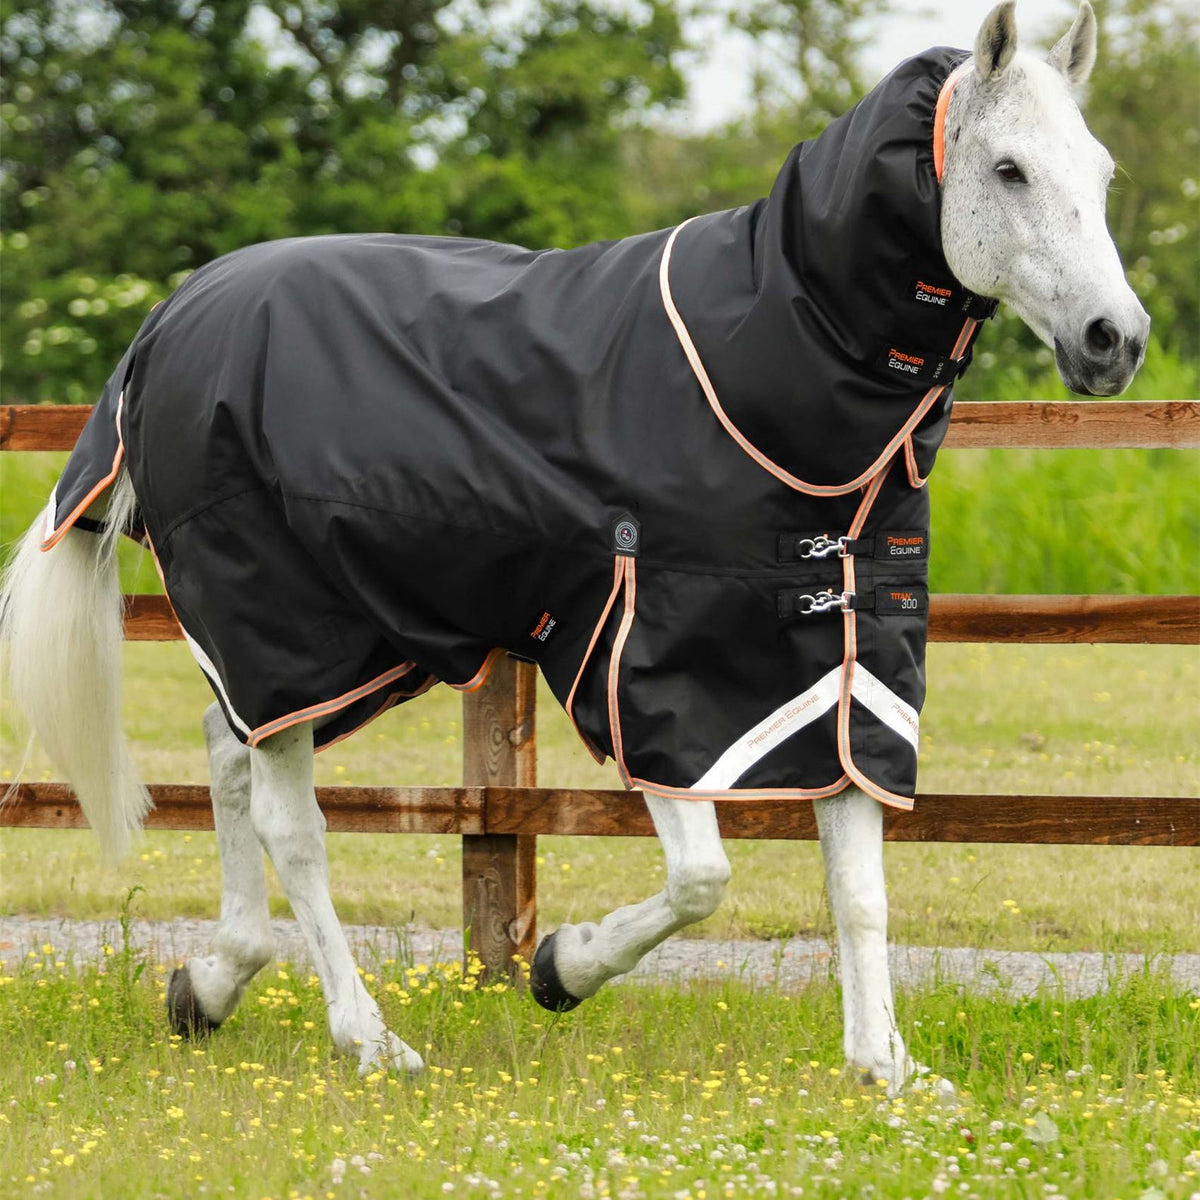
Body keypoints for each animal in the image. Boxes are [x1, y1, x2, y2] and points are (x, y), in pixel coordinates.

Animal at [2, 0, 1148, 1094]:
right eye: (1008, 169)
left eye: (1100, 172)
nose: (1116, 340)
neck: (770, 378)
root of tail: (166, 322)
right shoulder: (649, 668)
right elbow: (701, 881)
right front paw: (561, 967)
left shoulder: (840, 670)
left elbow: (858, 886)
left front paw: (885, 1067)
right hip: (283, 621)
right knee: (293, 822)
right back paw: (369, 1040)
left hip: (366, 644)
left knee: (225, 746)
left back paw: (209, 984)